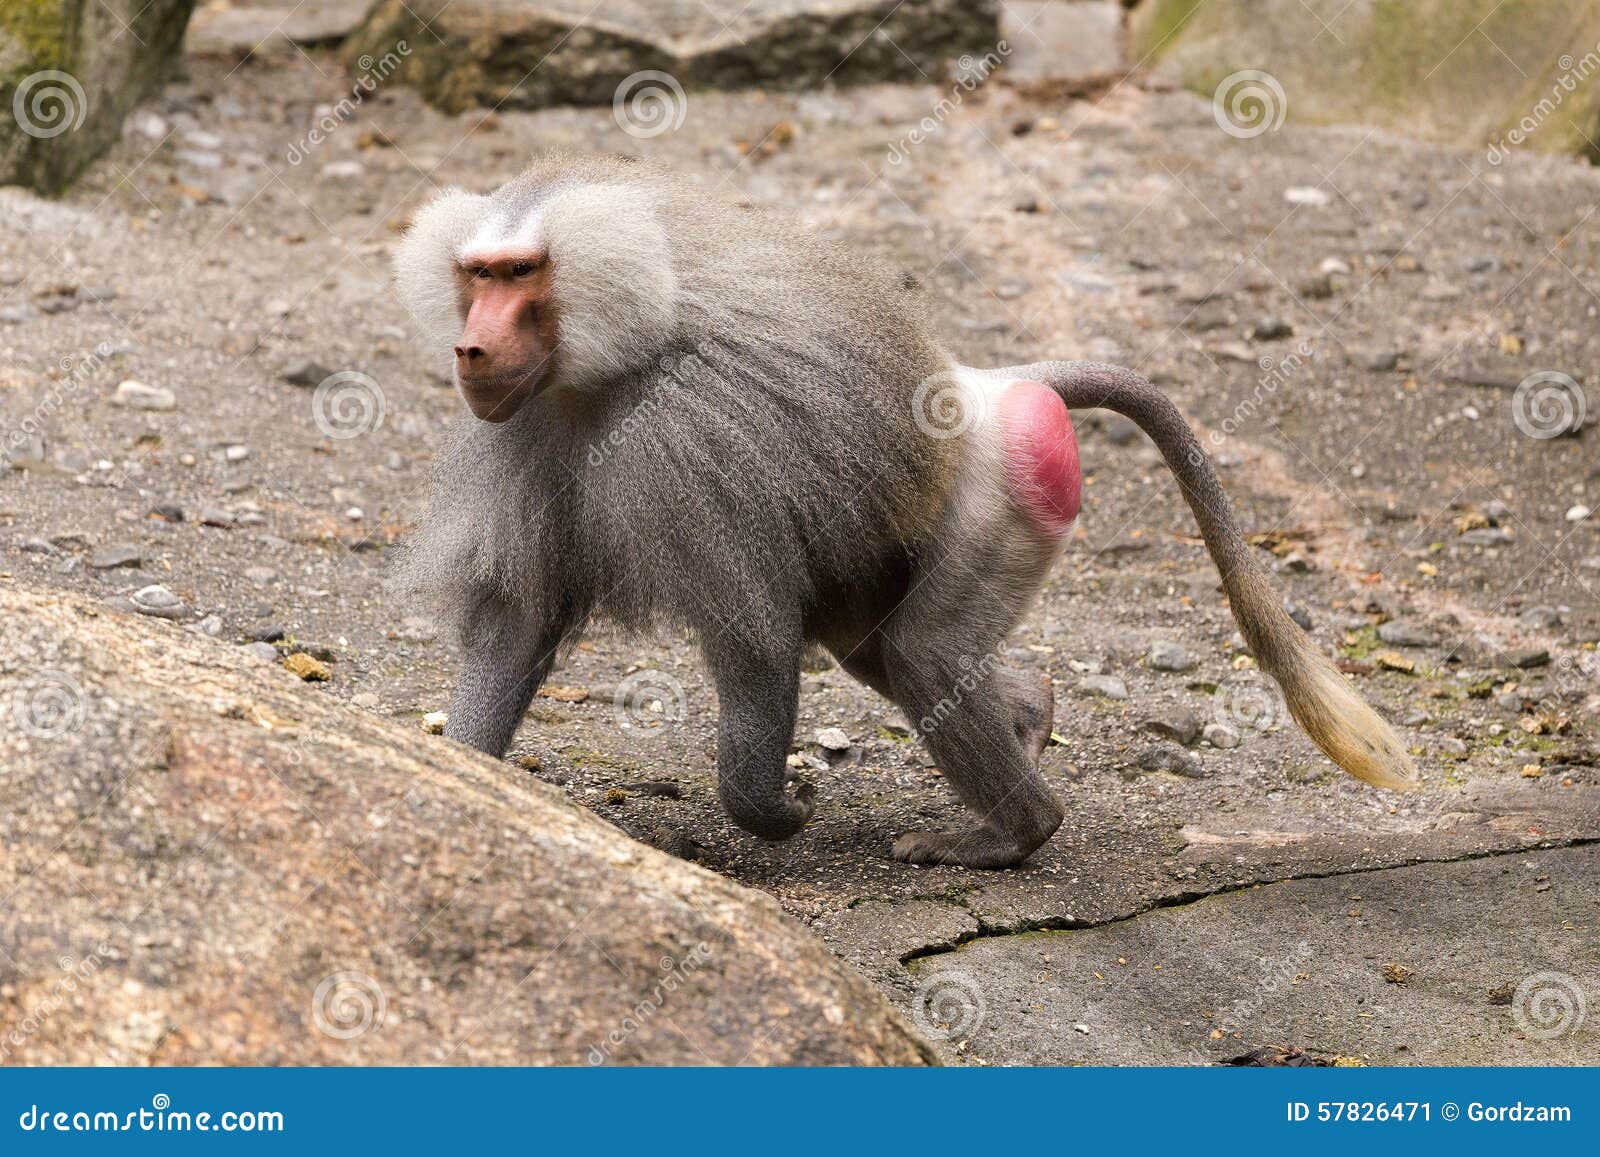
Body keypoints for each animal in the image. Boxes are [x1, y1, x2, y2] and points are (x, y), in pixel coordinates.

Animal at [393, 151, 1418, 870]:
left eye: (520, 275)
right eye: (476, 275)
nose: (471, 349)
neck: (603, 365)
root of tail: (987, 384)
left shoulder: (691, 446)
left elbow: (754, 641)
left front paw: (773, 810)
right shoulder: (525, 431)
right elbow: (517, 624)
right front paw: (465, 787)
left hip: (1003, 501)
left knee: (924, 652)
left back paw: (1013, 832)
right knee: (884, 649)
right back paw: (1030, 721)